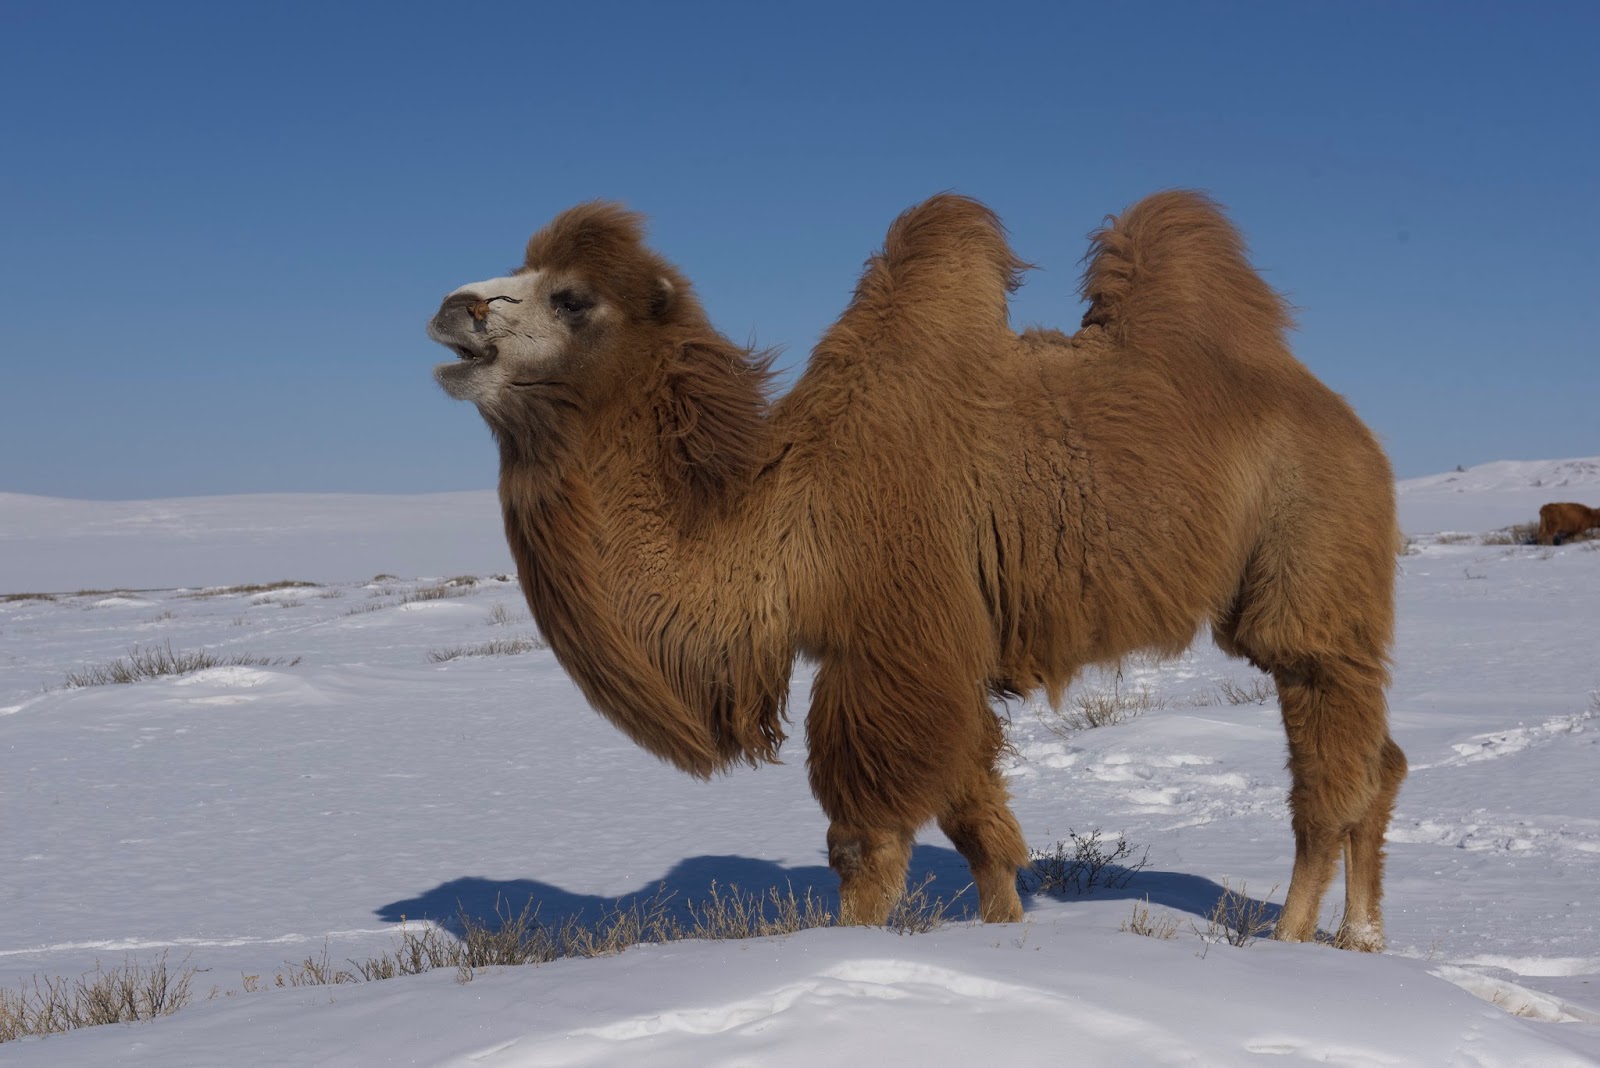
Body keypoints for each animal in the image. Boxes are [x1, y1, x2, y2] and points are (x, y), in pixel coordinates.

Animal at [428, 191, 1407, 950]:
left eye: (571, 297)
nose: (452, 307)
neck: (785, 512)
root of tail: (1345, 418)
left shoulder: (895, 646)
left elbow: (868, 840)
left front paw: (846, 956)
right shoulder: (936, 655)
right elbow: (979, 824)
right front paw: (1006, 935)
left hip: (1312, 567)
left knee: (1329, 769)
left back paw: (1289, 942)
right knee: (1381, 762)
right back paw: (1363, 940)